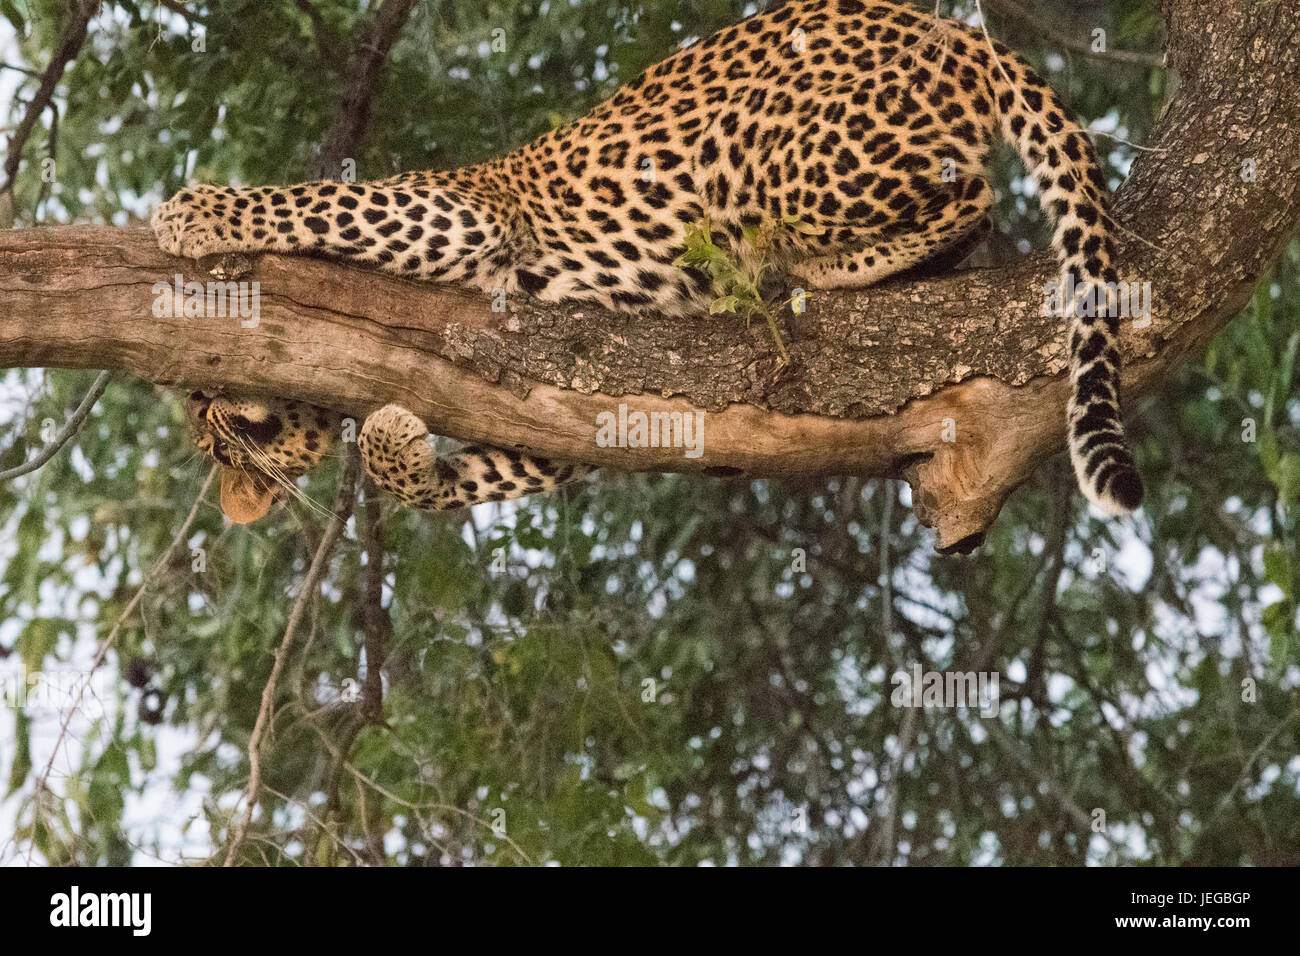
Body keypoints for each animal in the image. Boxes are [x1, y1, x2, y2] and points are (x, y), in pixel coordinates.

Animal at [158, 0, 1143, 525]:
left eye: (230, 434)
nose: (239, 505)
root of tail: (957, 31)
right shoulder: (551, 427)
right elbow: (448, 483)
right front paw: (397, 442)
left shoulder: (462, 213)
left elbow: (318, 202)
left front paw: (196, 212)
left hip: (776, 156)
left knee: (970, 194)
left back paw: (813, 270)